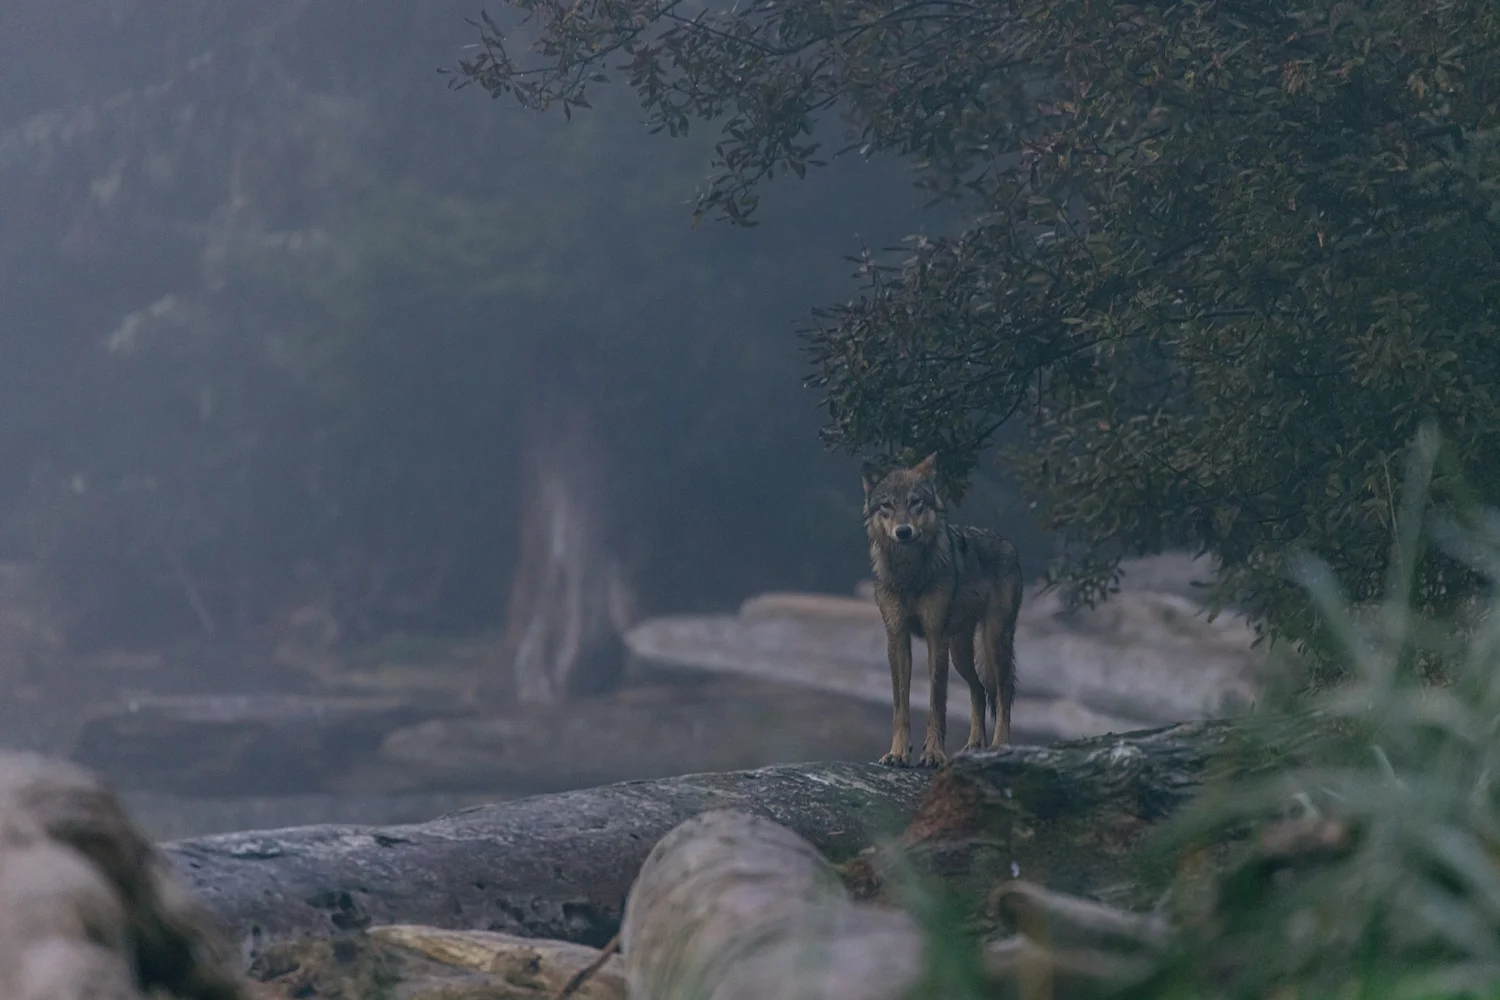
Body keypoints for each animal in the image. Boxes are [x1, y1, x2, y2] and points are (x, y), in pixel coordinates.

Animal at [863, 453, 1023, 767]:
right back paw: (974, 746)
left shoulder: (935, 637)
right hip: (960, 652)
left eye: (916, 502)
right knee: (978, 689)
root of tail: (1008, 542)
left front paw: (933, 754)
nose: (903, 531)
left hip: (993, 641)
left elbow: (937, 701)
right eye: (887, 505)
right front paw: (898, 753)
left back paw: (1000, 745)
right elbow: (900, 705)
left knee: (1003, 693)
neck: (910, 574)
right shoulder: (897, 636)